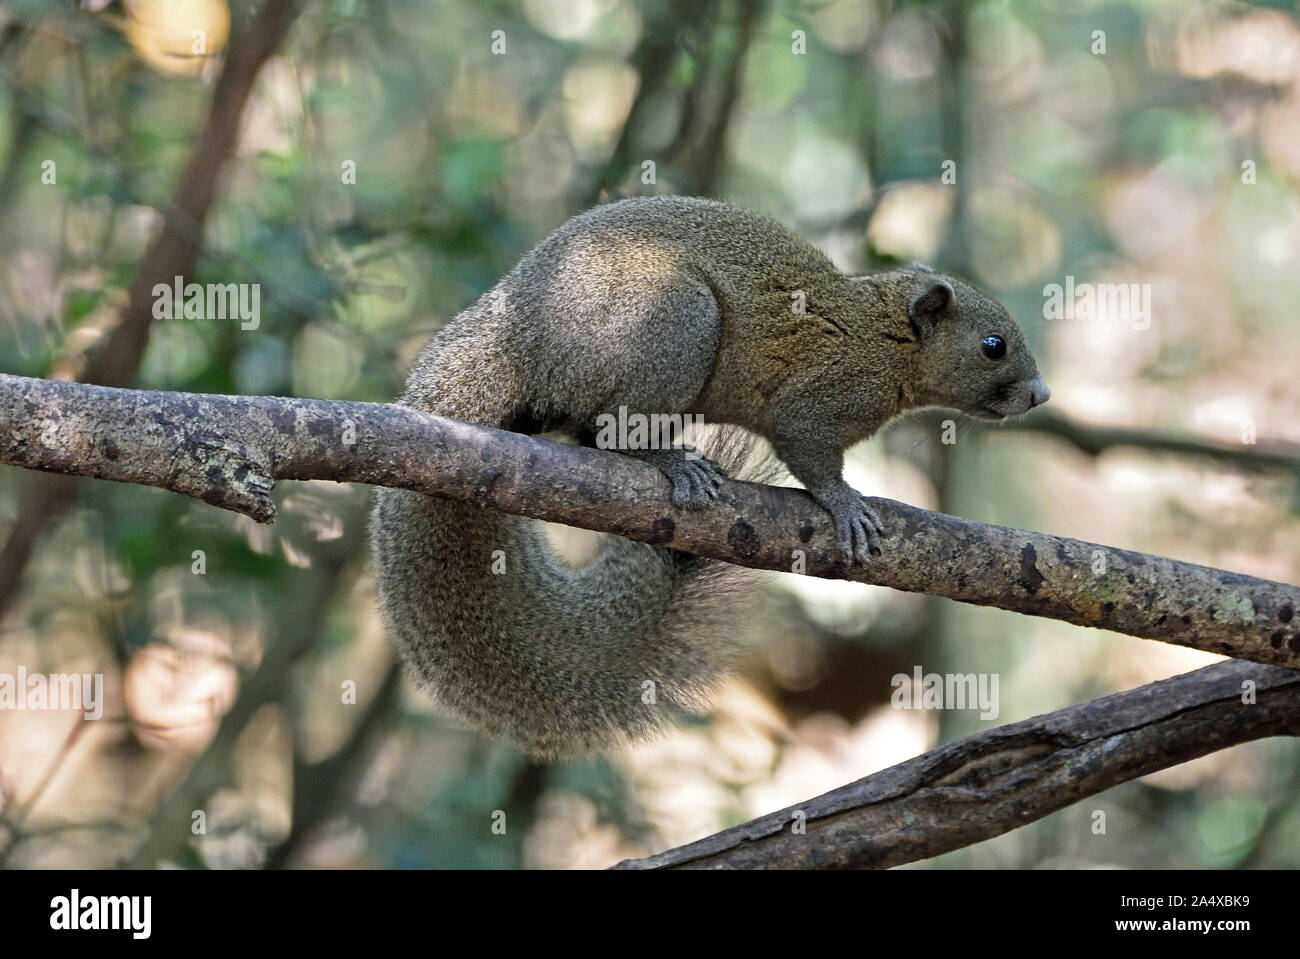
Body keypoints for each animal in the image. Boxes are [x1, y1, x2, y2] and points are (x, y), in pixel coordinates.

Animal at [370, 195, 1050, 759]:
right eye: (993, 345)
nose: (1042, 395)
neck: (884, 340)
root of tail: (517, 336)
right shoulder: (819, 401)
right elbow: (811, 454)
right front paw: (846, 506)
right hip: (676, 320)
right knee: (611, 429)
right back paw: (670, 461)